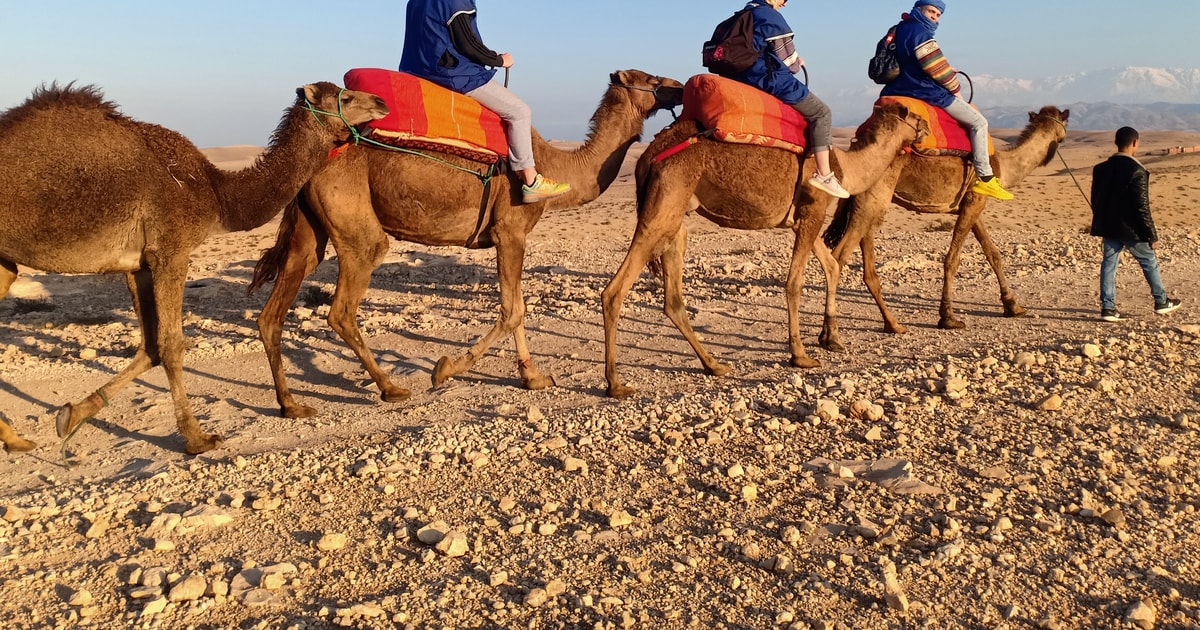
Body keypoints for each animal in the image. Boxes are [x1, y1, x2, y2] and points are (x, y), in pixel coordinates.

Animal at [0, 82, 389, 454]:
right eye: (345, 97)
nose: (382, 103)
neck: (215, 192)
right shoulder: (171, 251)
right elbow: (171, 345)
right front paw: (197, 438)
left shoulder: (139, 264)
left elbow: (151, 347)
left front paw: (72, 414)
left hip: (5, 259)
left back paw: (16, 440)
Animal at [248, 69, 684, 419]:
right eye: (652, 80)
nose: (680, 87)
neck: (557, 168)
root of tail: (318, 156)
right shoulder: (511, 230)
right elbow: (511, 311)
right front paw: (444, 369)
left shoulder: (509, 237)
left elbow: (518, 309)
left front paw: (533, 377)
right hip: (355, 225)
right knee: (343, 306)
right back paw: (390, 388)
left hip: (309, 229)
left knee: (276, 308)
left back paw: (291, 405)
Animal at [601, 102, 930, 398]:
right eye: (914, 116)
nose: (926, 127)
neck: (846, 168)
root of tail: (647, 158)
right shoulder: (813, 210)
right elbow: (795, 283)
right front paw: (800, 354)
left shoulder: (802, 219)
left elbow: (832, 266)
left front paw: (832, 338)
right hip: (663, 204)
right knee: (614, 292)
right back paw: (615, 383)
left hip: (676, 217)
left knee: (672, 299)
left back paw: (714, 365)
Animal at [819, 106, 1070, 350]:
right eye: (1064, 121)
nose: (1062, 139)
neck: (1003, 166)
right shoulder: (975, 202)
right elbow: (953, 259)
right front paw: (948, 317)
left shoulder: (971, 204)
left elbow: (993, 253)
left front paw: (1013, 306)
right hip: (872, 199)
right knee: (837, 258)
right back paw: (829, 335)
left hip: (867, 204)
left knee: (867, 268)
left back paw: (892, 324)